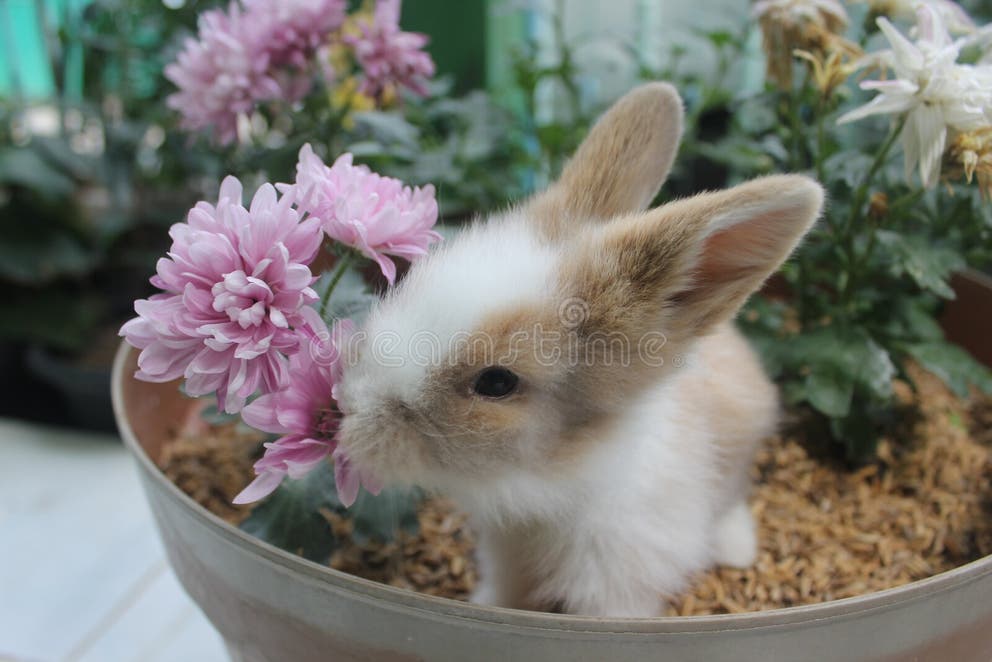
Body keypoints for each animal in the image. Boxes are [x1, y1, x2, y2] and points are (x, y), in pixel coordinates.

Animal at [335, 82, 824, 618]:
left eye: (497, 382)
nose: (348, 410)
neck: (552, 487)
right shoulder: (508, 552)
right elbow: (506, 593)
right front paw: (485, 607)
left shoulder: (616, 581)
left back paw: (737, 549)